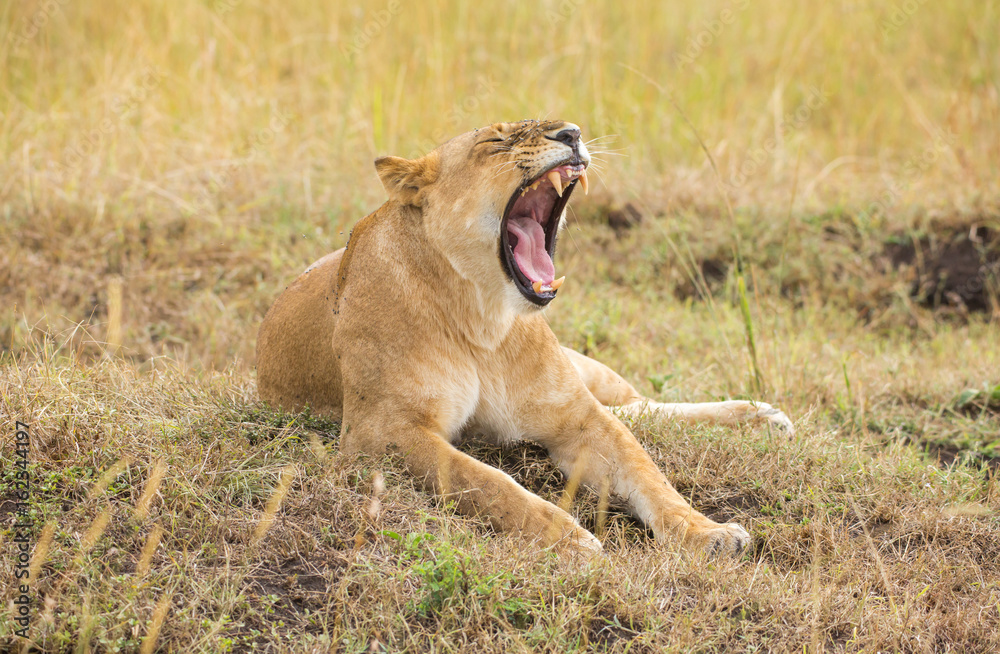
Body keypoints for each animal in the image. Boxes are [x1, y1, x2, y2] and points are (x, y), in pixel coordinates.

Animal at [256, 119, 792, 557]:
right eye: (494, 142)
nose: (572, 132)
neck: (483, 318)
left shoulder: (577, 417)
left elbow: (648, 473)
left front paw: (708, 532)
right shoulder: (380, 430)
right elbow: (483, 480)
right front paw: (570, 539)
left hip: (584, 371)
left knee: (637, 407)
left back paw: (760, 416)